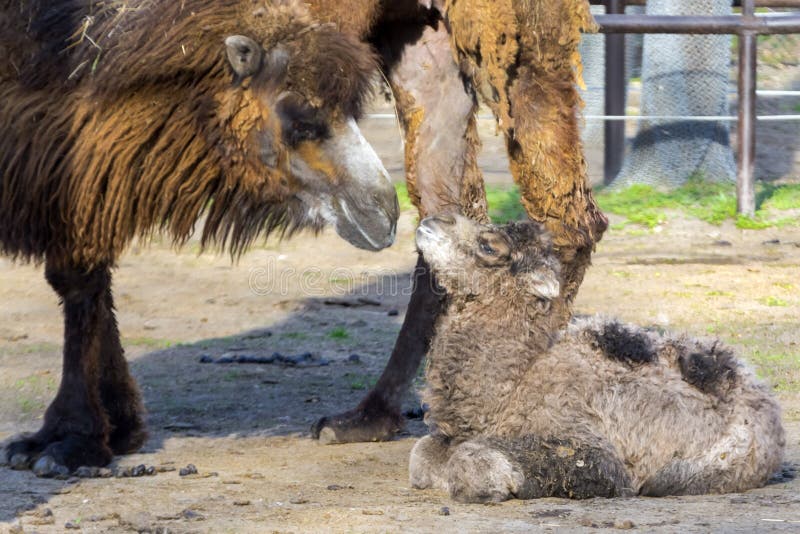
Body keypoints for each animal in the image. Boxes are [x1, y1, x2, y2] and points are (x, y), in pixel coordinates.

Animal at [0, 0, 398, 476]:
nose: (385, 210)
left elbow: (80, 277)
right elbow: (79, 278)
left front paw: (80, 438)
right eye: (301, 118)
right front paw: (91, 433)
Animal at [409, 214, 785, 502]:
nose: (431, 221)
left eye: (488, 245)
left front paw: (492, 484)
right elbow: (422, 454)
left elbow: (473, 458)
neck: (514, 386)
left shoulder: (587, 445)